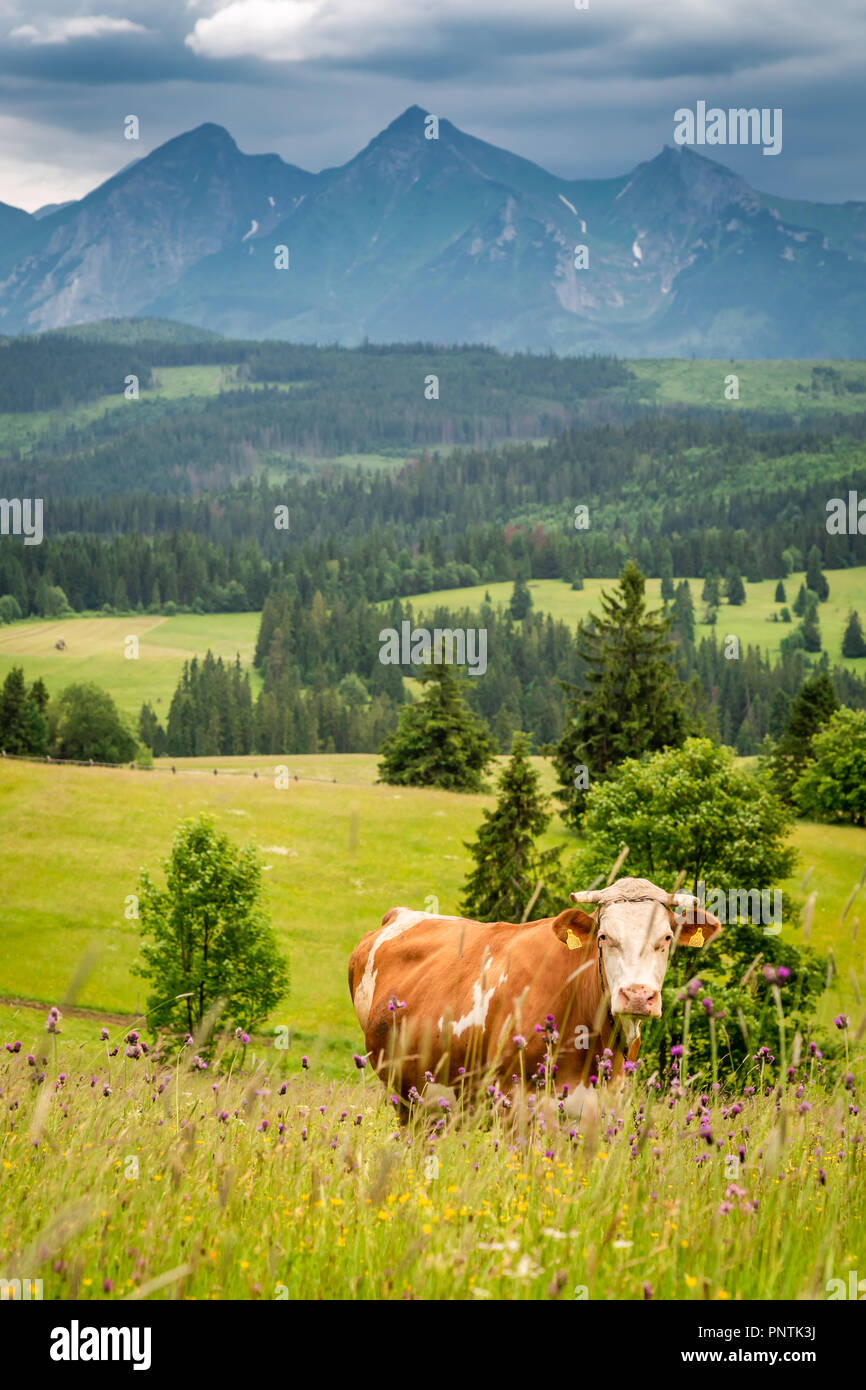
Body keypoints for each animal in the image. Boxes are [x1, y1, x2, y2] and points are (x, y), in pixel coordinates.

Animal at [348, 876, 722, 1120]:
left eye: (666, 938)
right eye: (604, 937)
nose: (638, 996)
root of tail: (402, 913)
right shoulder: (515, 1106)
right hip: (405, 1098)